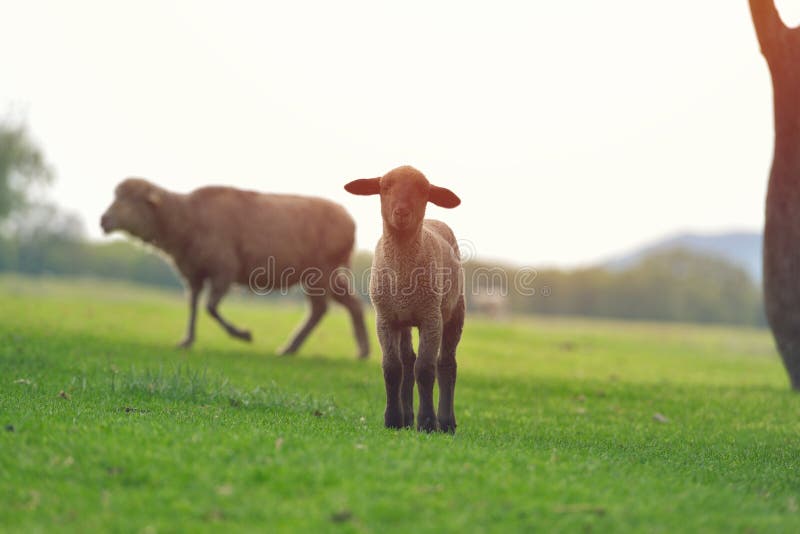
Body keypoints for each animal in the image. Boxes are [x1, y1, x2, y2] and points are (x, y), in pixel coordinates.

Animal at [100, 177, 370, 358]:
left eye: (131, 199)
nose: (104, 220)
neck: (184, 220)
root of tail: (351, 222)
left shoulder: (225, 267)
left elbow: (210, 308)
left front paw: (243, 335)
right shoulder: (193, 272)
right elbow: (193, 305)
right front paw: (187, 340)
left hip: (321, 270)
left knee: (320, 309)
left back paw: (290, 348)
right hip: (326, 272)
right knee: (351, 304)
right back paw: (361, 350)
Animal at [344, 165, 464, 432]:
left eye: (424, 190)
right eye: (385, 186)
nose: (401, 212)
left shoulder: (431, 317)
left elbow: (426, 368)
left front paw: (427, 422)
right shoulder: (386, 318)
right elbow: (392, 368)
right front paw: (392, 419)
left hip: (454, 312)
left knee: (446, 364)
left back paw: (446, 422)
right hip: (405, 320)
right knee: (408, 361)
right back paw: (406, 418)